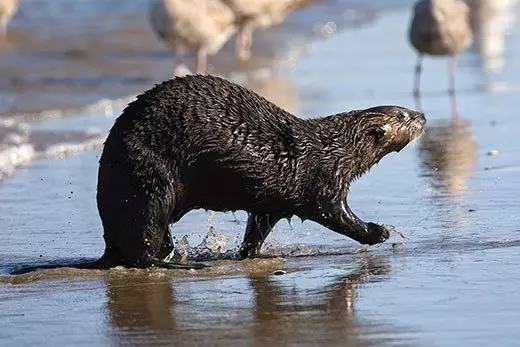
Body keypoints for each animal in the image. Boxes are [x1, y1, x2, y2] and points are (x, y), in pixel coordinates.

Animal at [11, 75, 426, 274]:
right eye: (403, 115)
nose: (423, 115)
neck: (328, 147)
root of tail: (109, 240)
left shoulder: (269, 202)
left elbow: (258, 226)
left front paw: (249, 255)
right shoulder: (323, 181)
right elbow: (335, 214)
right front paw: (379, 231)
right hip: (148, 184)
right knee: (142, 251)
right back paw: (183, 263)